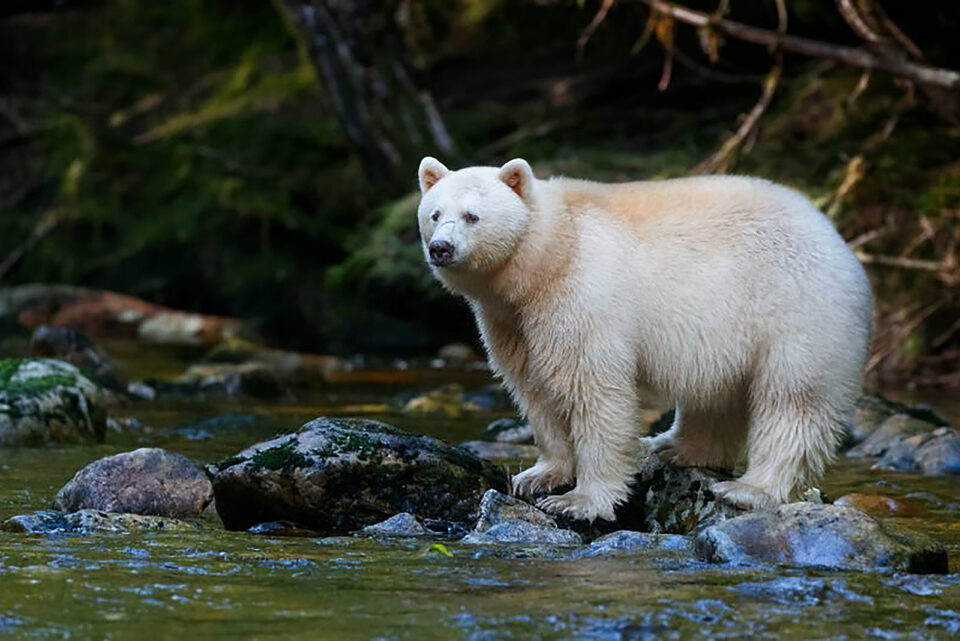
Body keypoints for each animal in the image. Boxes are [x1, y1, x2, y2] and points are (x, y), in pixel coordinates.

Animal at [416, 156, 873, 522]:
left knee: (793, 399)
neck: (547, 254)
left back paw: (749, 488)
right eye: (434, 214)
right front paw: (539, 476)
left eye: (472, 216)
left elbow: (593, 391)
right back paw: (673, 446)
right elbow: (536, 390)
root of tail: (835, 237)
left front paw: (580, 501)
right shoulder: (513, 322)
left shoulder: (579, 297)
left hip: (795, 310)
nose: (441, 248)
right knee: (716, 396)